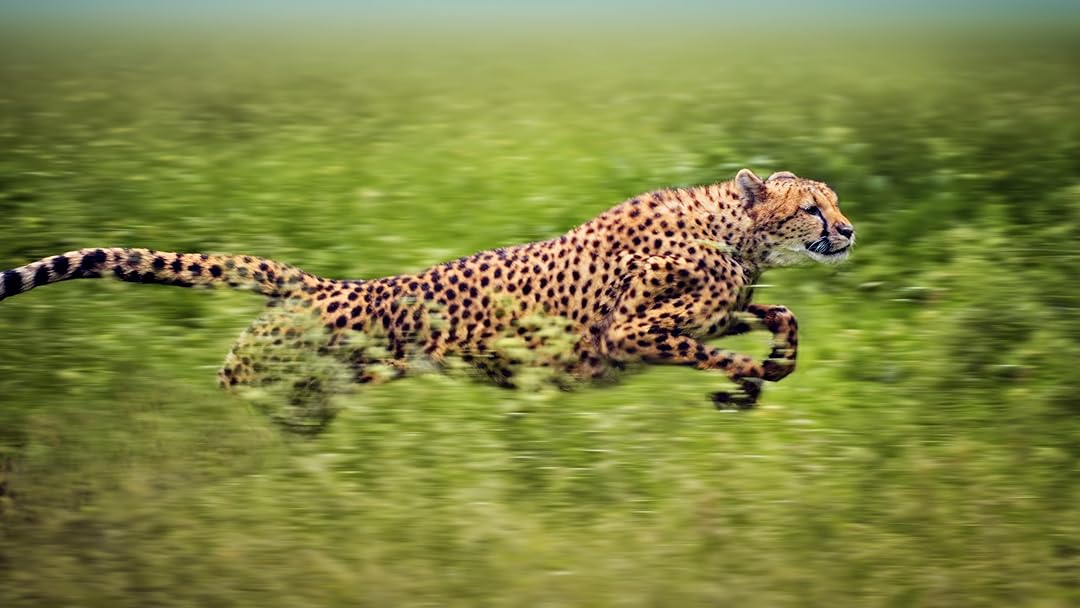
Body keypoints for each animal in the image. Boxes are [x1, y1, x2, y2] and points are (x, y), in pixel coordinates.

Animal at [0, 168, 853, 424]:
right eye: (814, 207)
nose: (847, 230)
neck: (732, 229)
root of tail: (327, 283)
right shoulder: (630, 332)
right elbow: (723, 351)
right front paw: (747, 383)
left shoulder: (721, 307)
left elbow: (781, 318)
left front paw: (768, 370)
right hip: (267, 378)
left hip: (305, 395)